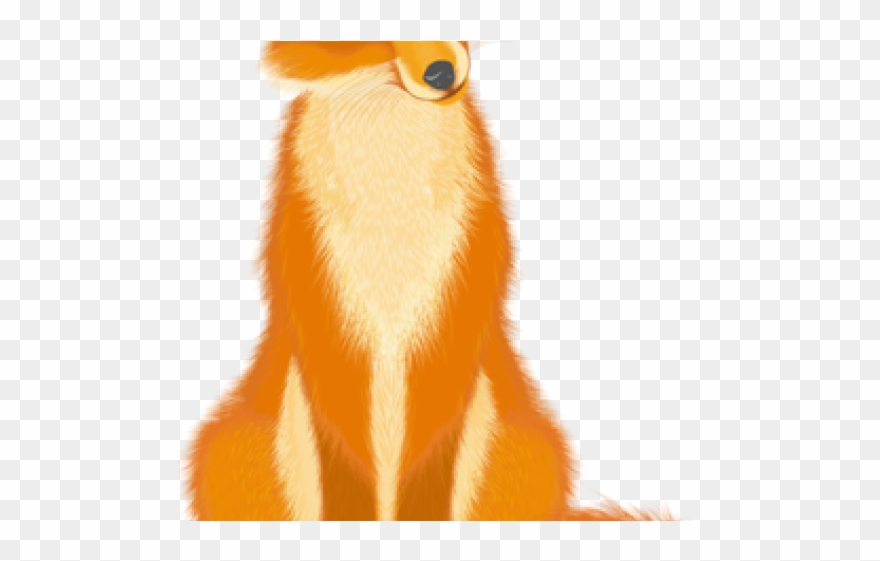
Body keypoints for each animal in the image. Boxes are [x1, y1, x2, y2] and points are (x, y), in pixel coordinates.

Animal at [185, 40, 674, 521]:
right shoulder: (327, 326)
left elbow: (431, 467)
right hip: (229, 442)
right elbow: (345, 470)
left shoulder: (451, 320)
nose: (443, 73)